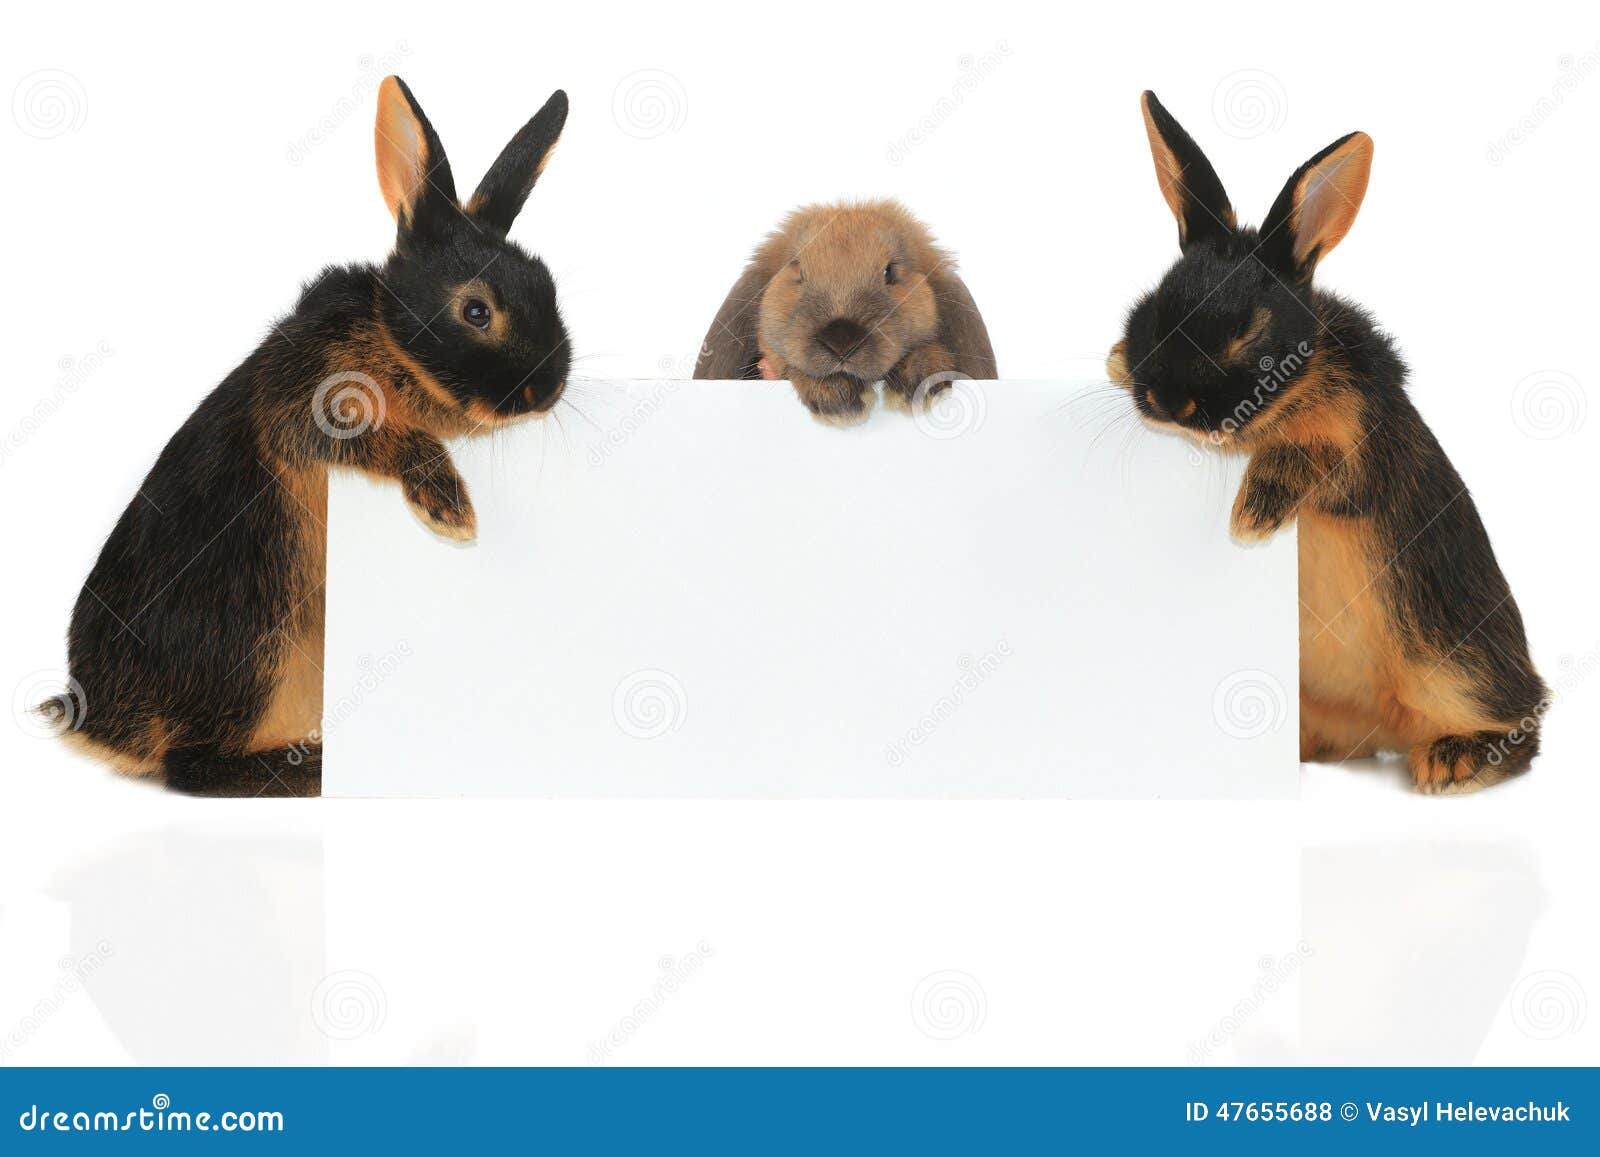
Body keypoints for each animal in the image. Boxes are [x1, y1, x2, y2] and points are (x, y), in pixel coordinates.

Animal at [37, 77, 572, 796]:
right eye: (477, 310)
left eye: (550, 287)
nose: (548, 389)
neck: (393, 342)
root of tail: (96, 724)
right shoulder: (313, 409)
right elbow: (394, 442)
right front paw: (451, 511)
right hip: (254, 642)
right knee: (190, 765)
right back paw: (306, 770)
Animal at [1106, 91, 1547, 794]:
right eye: (1156, 307)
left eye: (1247, 330)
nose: (1168, 403)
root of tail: (1383, 730)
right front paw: (1116, 362)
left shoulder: (1356, 450)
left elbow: (1303, 454)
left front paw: (1253, 518)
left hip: (1452, 660)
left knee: (1521, 723)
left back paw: (1450, 762)